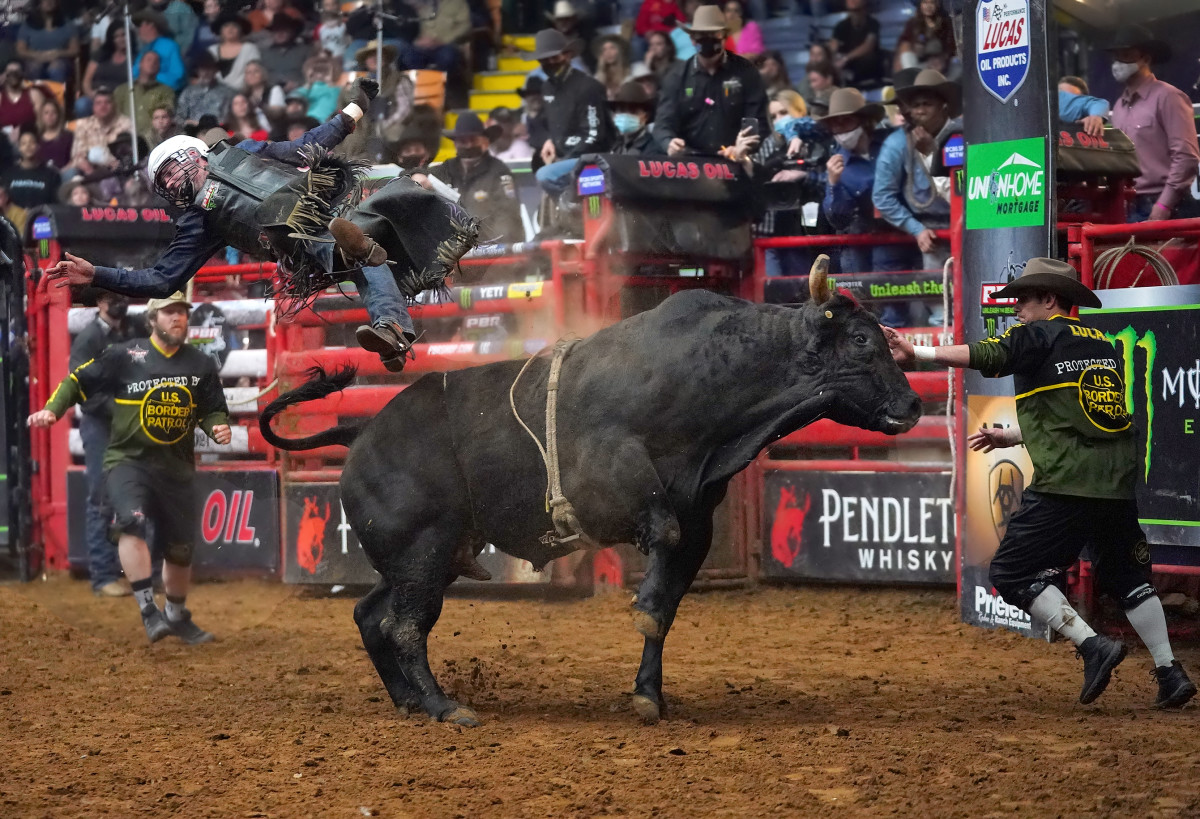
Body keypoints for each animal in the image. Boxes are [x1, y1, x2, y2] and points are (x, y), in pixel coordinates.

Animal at [259, 259, 921, 726]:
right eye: (863, 341)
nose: (914, 405)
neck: (709, 375)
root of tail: (361, 430)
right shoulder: (618, 473)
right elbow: (658, 540)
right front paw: (642, 614)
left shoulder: (700, 519)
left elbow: (668, 601)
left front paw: (649, 692)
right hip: (421, 553)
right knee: (403, 626)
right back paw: (446, 707)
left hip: (427, 556)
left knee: (372, 615)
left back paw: (409, 702)